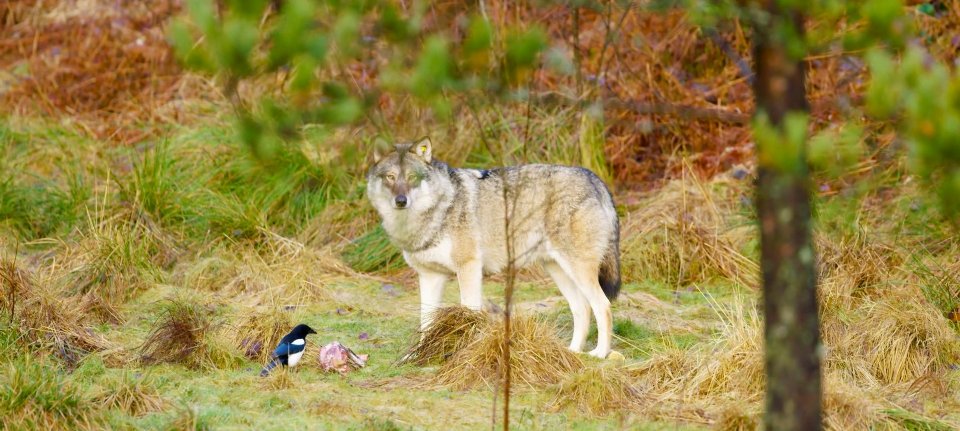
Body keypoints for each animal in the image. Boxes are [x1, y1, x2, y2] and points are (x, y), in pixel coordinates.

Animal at [366, 137, 621, 358]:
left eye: (412, 177)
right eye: (390, 177)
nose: (401, 201)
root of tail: (592, 177)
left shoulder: (468, 267)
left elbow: (468, 311)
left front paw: (465, 350)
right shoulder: (430, 276)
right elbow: (426, 321)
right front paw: (419, 354)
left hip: (577, 269)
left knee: (603, 306)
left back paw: (600, 354)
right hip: (558, 270)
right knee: (582, 308)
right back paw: (573, 352)